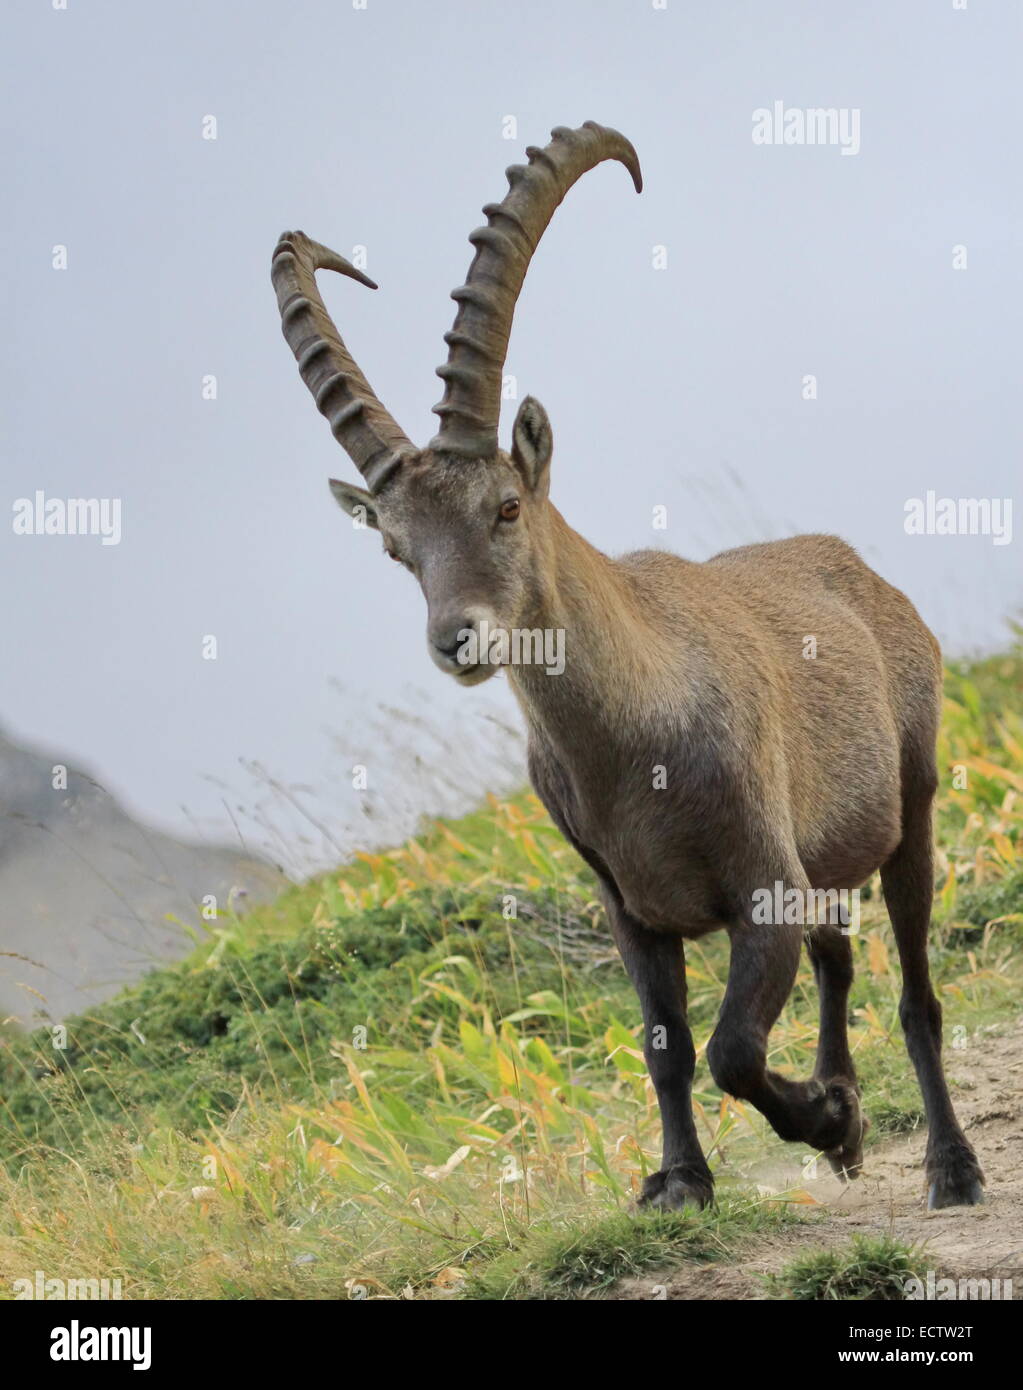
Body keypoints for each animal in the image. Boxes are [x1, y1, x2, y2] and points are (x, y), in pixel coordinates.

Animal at [272, 121, 983, 1211]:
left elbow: (734, 1050)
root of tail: (861, 573)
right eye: (395, 547)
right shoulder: (630, 909)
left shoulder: (760, 888)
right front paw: (688, 1178)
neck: (637, 736)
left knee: (915, 995)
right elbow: (667, 1048)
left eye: (505, 507)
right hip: (826, 860)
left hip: (913, 804)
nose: (456, 639)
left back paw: (948, 1164)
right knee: (838, 957)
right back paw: (850, 1122)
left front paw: (820, 1116)